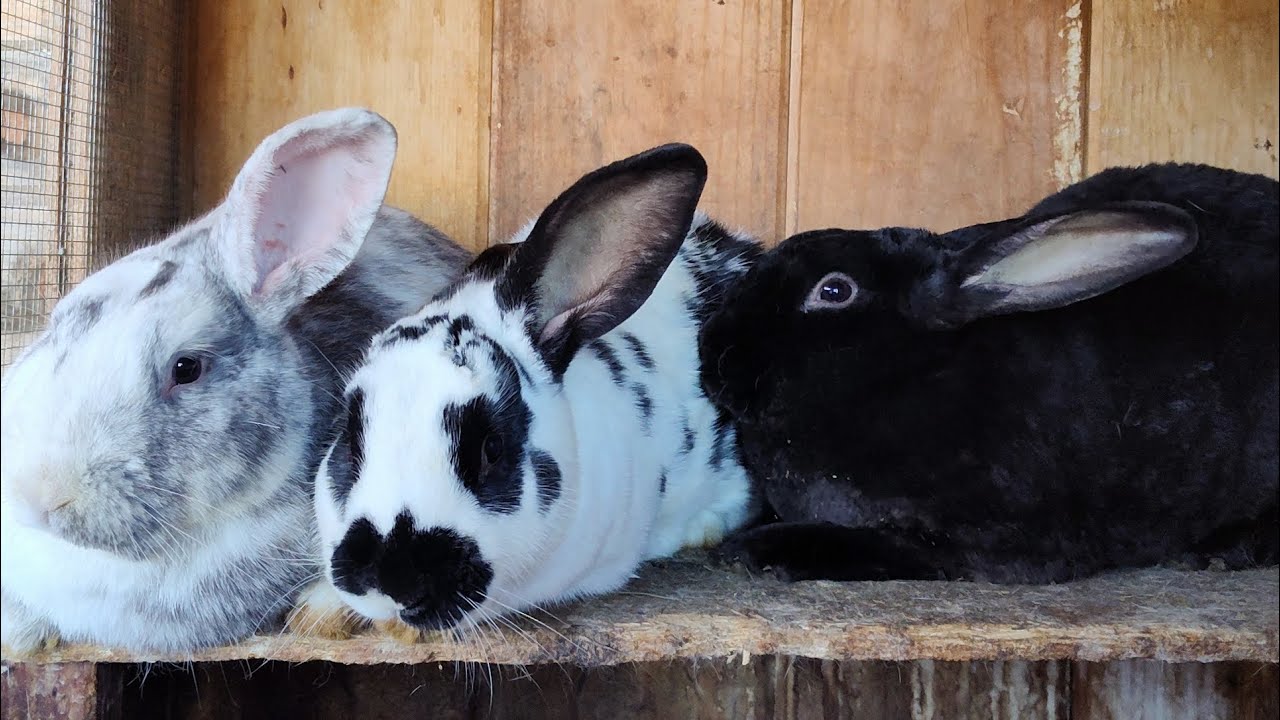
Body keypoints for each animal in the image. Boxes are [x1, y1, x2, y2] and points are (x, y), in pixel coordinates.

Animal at [699, 162, 1279, 584]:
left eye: (834, 291)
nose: (712, 352)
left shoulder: (984, 540)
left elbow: (889, 548)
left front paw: (755, 551)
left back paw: (1223, 552)